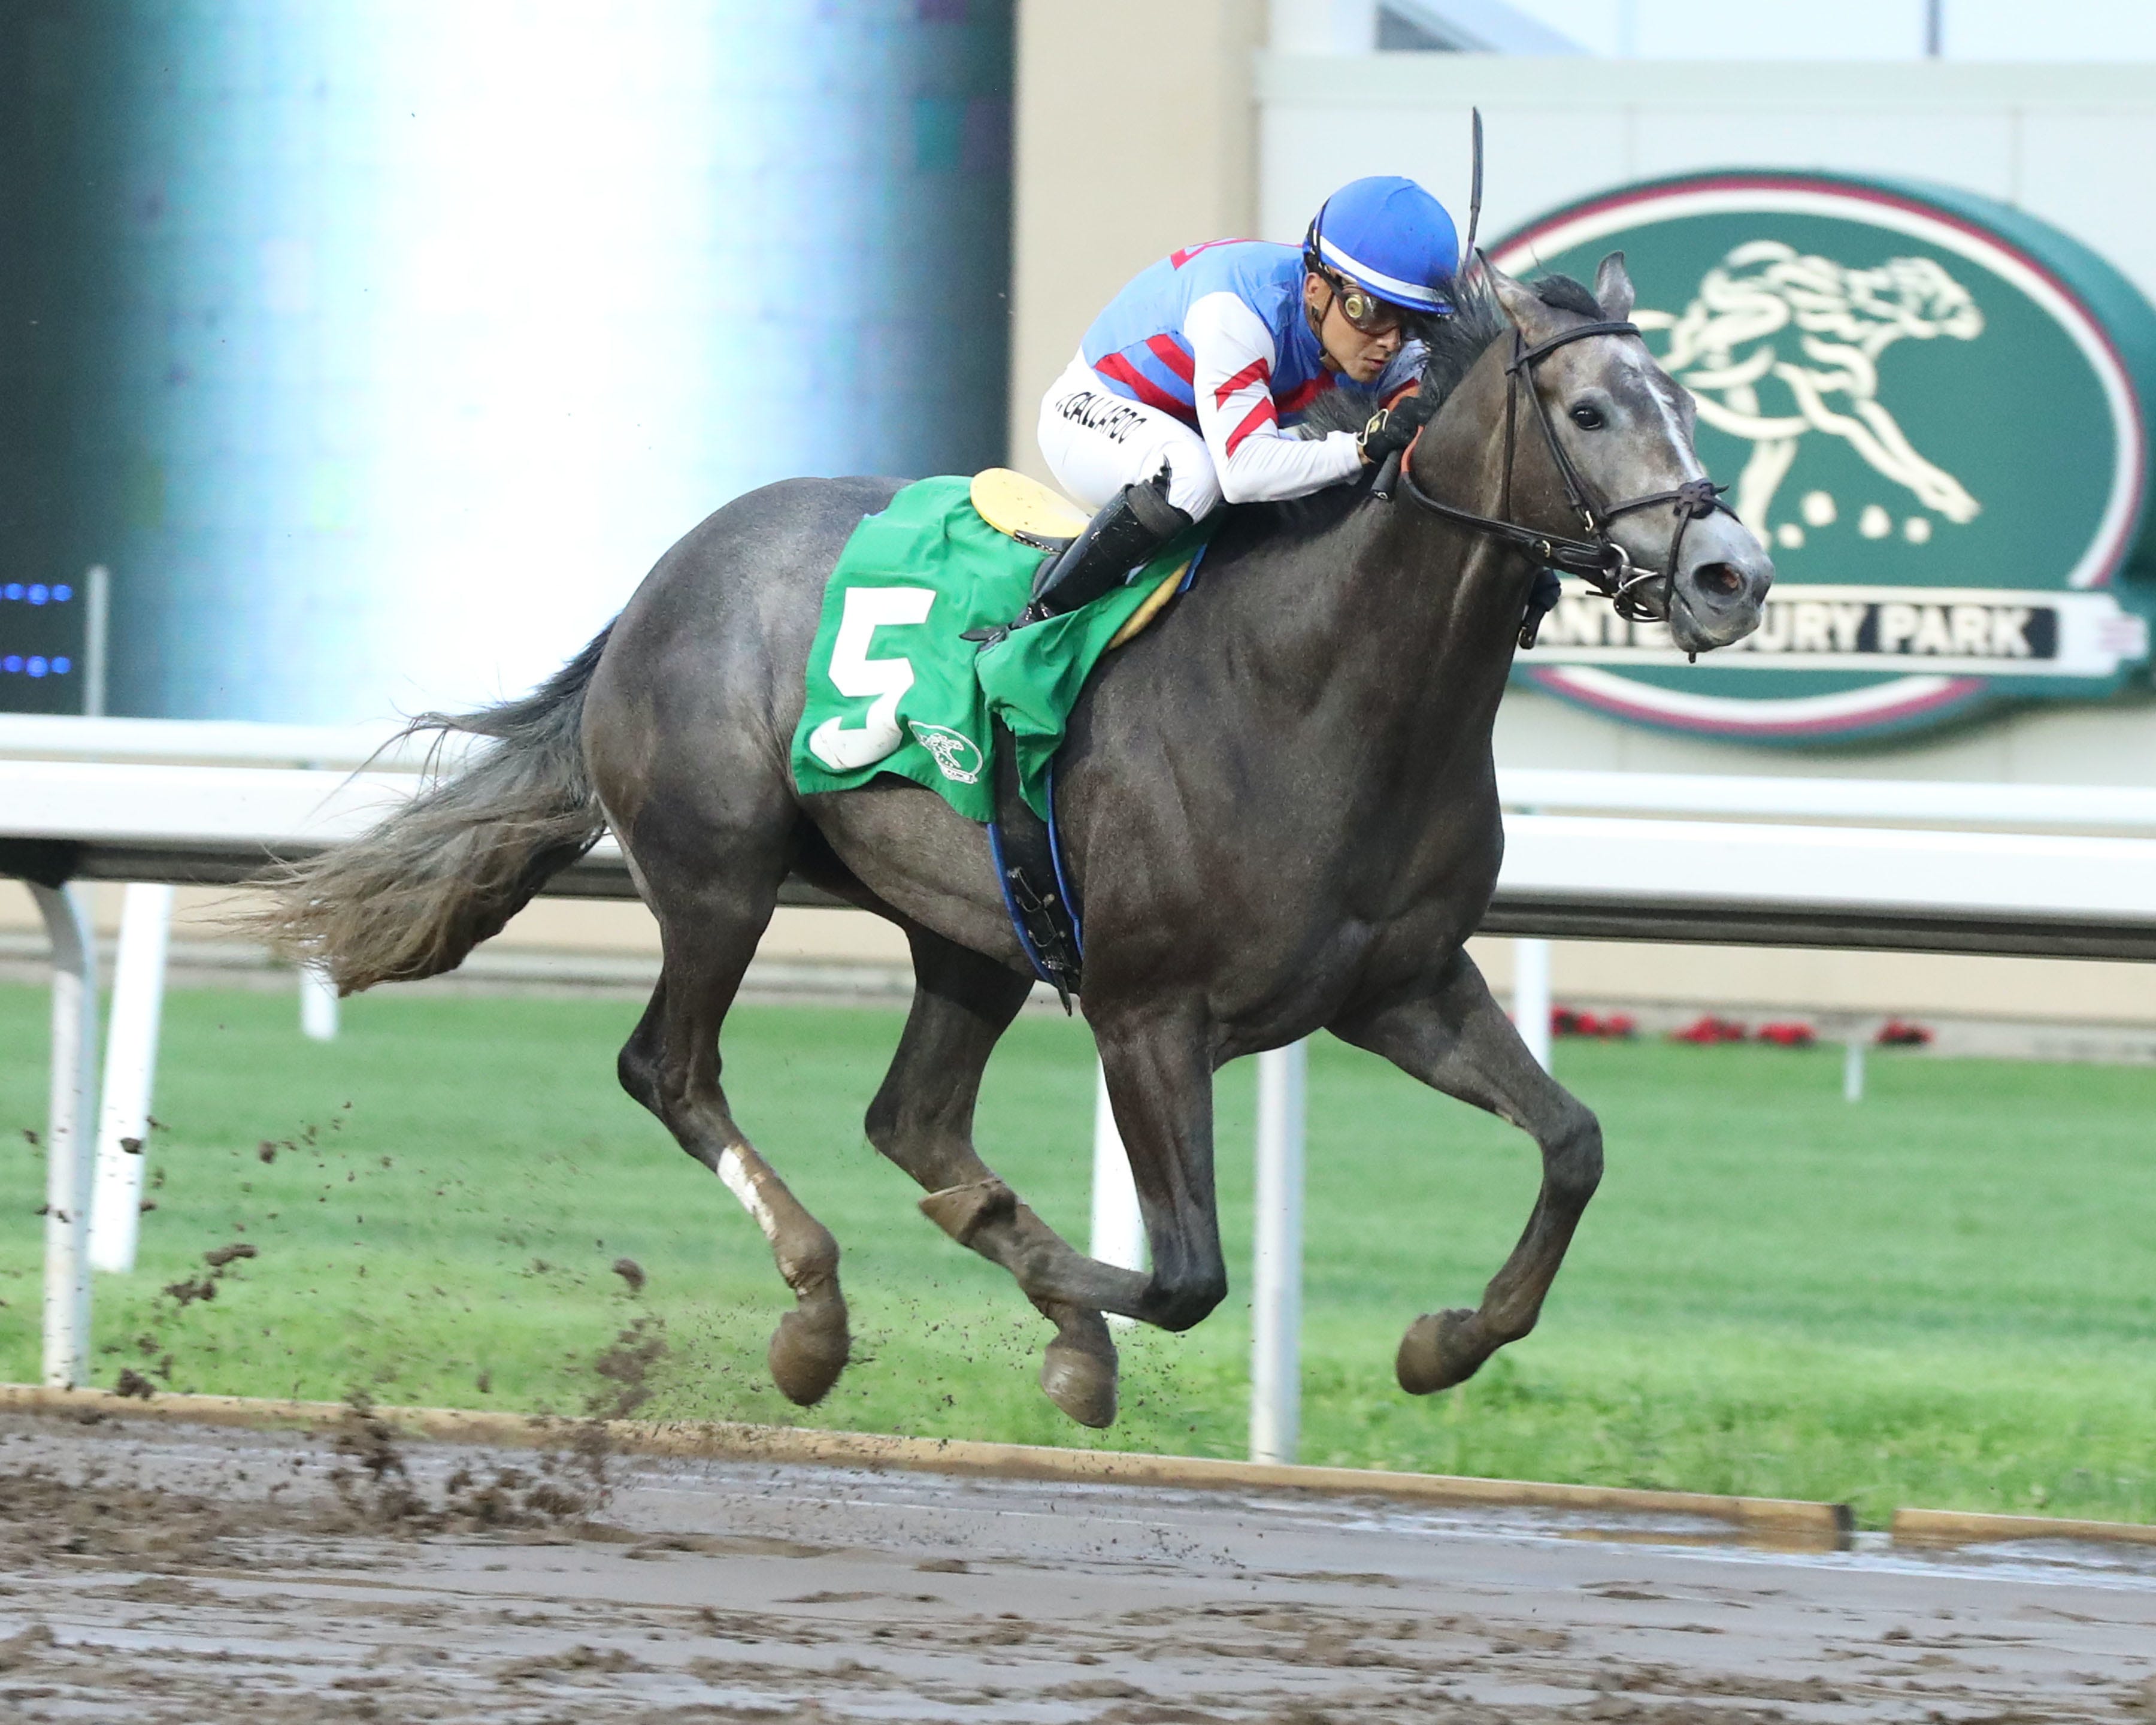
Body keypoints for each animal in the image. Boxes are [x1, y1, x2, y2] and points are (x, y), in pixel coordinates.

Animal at [257, 255, 1772, 1431]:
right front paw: (1045, 1293)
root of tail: (662, 579)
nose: (1732, 574)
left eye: (1690, 406)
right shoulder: (1148, 1013)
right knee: (671, 1070)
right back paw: (819, 1314)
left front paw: (1443, 1341)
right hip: (718, 872)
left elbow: (1573, 1144)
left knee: (911, 1116)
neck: (1320, 686)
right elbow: (1187, 1276)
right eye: (1589, 409)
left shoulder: (1401, 985)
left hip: (971, 929)